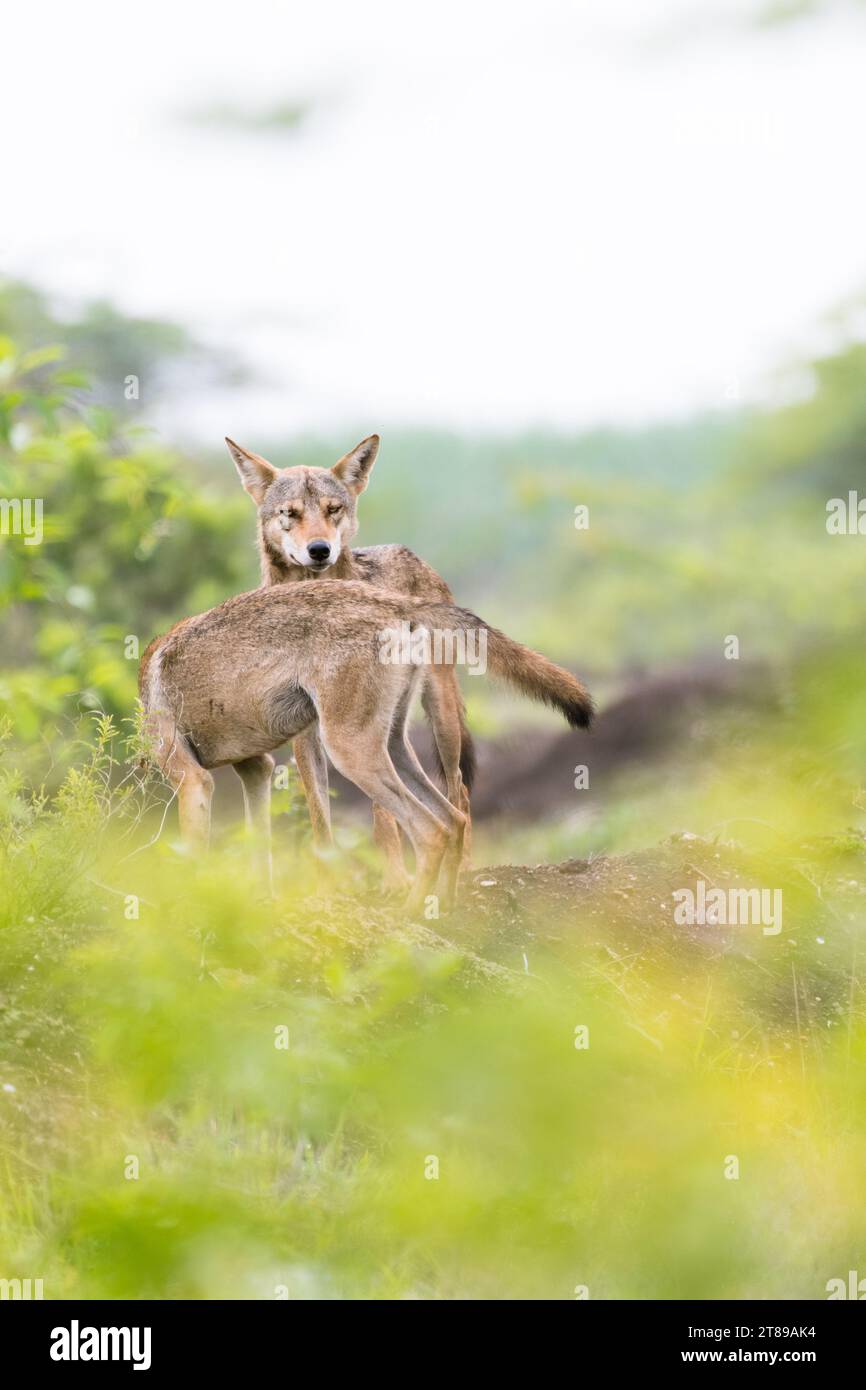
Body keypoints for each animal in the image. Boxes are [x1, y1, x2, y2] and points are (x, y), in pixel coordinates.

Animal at [139, 582, 593, 912]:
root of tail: (398, 601)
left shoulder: (192, 778)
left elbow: (194, 858)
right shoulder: (258, 768)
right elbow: (260, 849)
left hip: (349, 752)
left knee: (431, 829)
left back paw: (408, 917)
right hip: (392, 747)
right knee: (454, 819)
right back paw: (443, 909)